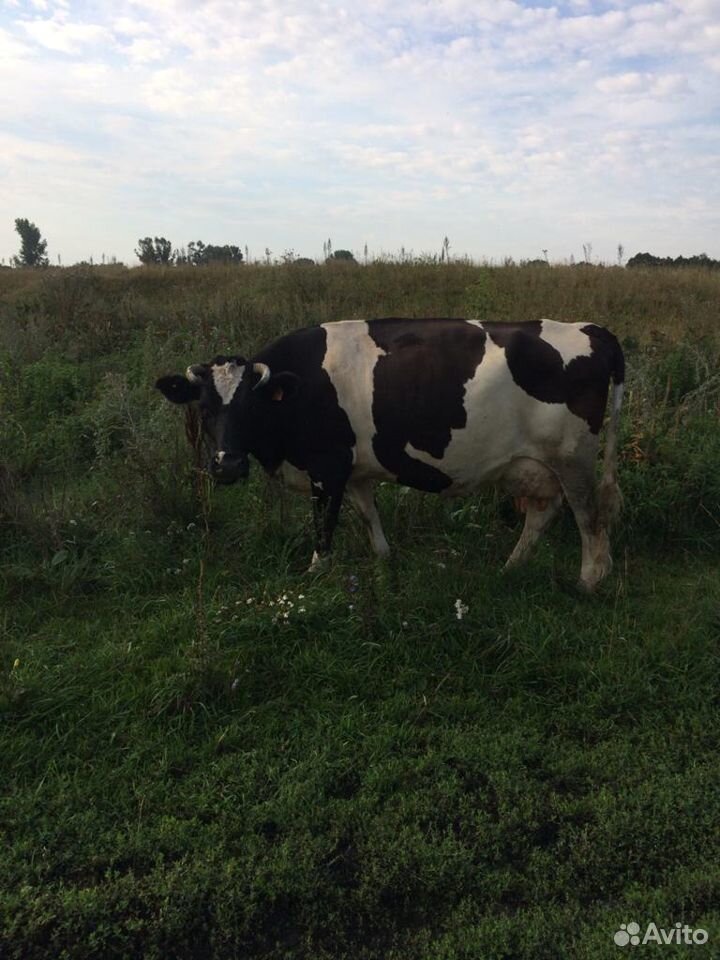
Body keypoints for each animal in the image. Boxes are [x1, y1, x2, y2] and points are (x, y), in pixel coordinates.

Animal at [156, 318, 624, 591]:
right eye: (204, 407)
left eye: (251, 406)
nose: (228, 465)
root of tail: (592, 329)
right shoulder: (354, 472)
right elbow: (368, 516)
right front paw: (384, 562)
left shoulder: (327, 467)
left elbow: (323, 526)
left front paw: (313, 576)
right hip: (537, 464)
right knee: (544, 512)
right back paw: (510, 568)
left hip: (572, 457)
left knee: (589, 515)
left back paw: (589, 581)